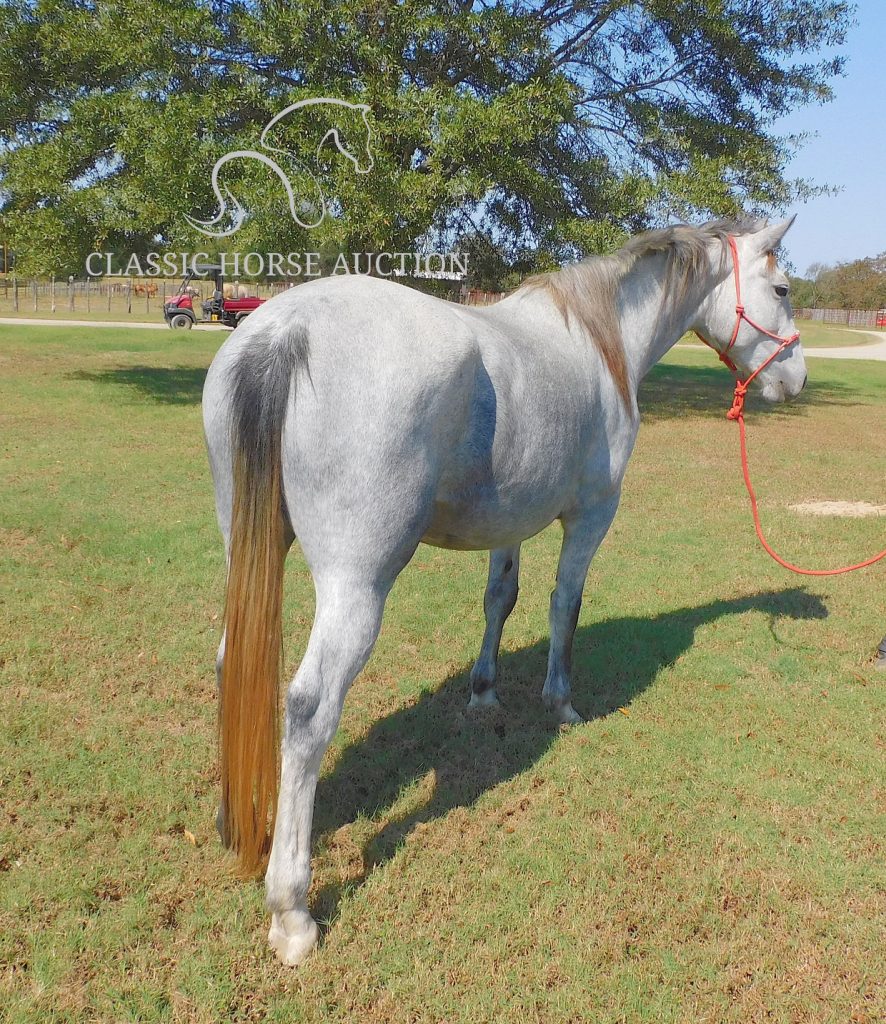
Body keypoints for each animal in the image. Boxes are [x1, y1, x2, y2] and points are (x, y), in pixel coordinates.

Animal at [201, 217, 806, 965]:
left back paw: (235, 820)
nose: (796, 377)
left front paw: (484, 693)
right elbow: (564, 605)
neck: (598, 342)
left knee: (231, 664)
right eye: (782, 288)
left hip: (247, 554)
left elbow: (501, 600)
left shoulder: (507, 523)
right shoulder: (591, 516)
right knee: (309, 710)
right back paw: (292, 912)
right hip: (355, 587)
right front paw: (561, 701)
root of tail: (286, 330)